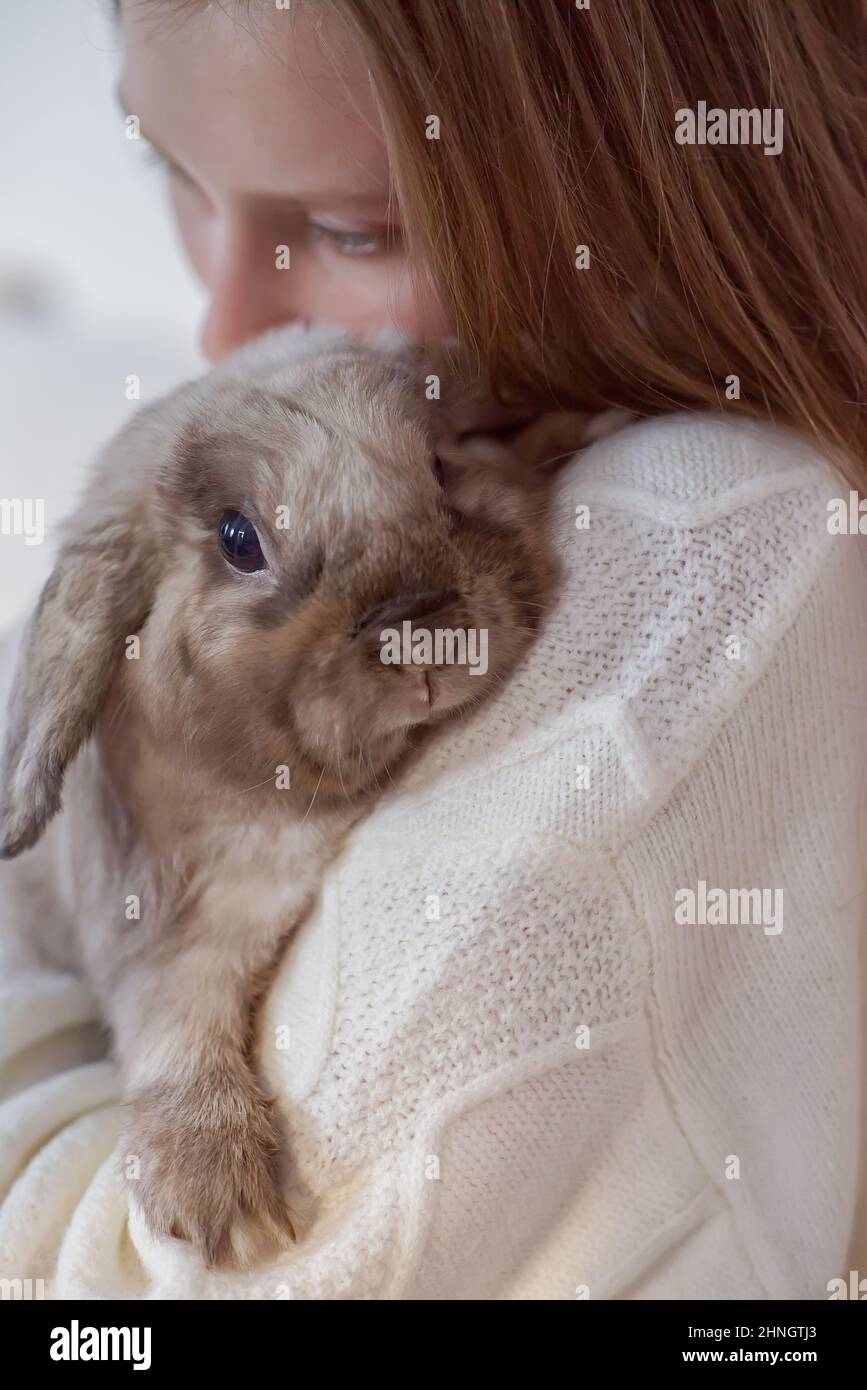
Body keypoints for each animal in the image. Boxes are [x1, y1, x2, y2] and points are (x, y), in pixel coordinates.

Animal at [0, 323, 594, 1266]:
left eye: (439, 464)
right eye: (239, 540)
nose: (418, 631)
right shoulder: (173, 931)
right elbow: (177, 1027)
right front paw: (218, 1199)